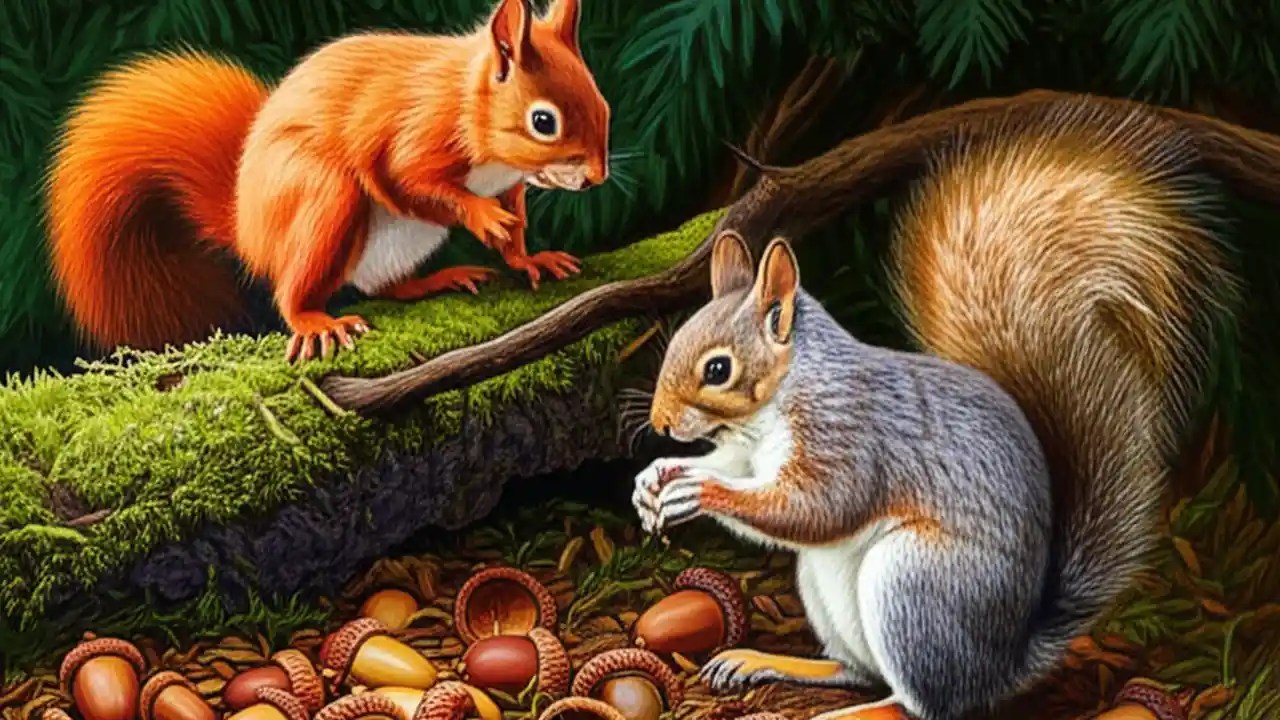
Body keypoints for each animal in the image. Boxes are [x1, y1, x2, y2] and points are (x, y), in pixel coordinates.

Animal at [45, 0, 608, 363]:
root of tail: (249, 229)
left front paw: (529, 258)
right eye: (543, 121)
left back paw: (436, 280)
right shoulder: (411, 134)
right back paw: (315, 322)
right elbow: (411, 181)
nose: (596, 179)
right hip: (325, 200)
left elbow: (516, 224)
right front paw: (481, 214)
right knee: (293, 292)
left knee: (387, 287)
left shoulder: (510, 182)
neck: (467, 102)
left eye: (602, 103)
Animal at [632, 98, 1236, 720]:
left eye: (717, 369)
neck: (771, 411)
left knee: (922, 703)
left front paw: (696, 491)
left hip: (912, 586)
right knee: (858, 671)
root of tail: (1004, 664)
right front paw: (656, 478)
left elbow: (815, 509)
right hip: (830, 592)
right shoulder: (748, 456)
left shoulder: (848, 435)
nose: (659, 423)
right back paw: (766, 662)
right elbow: (731, 469)